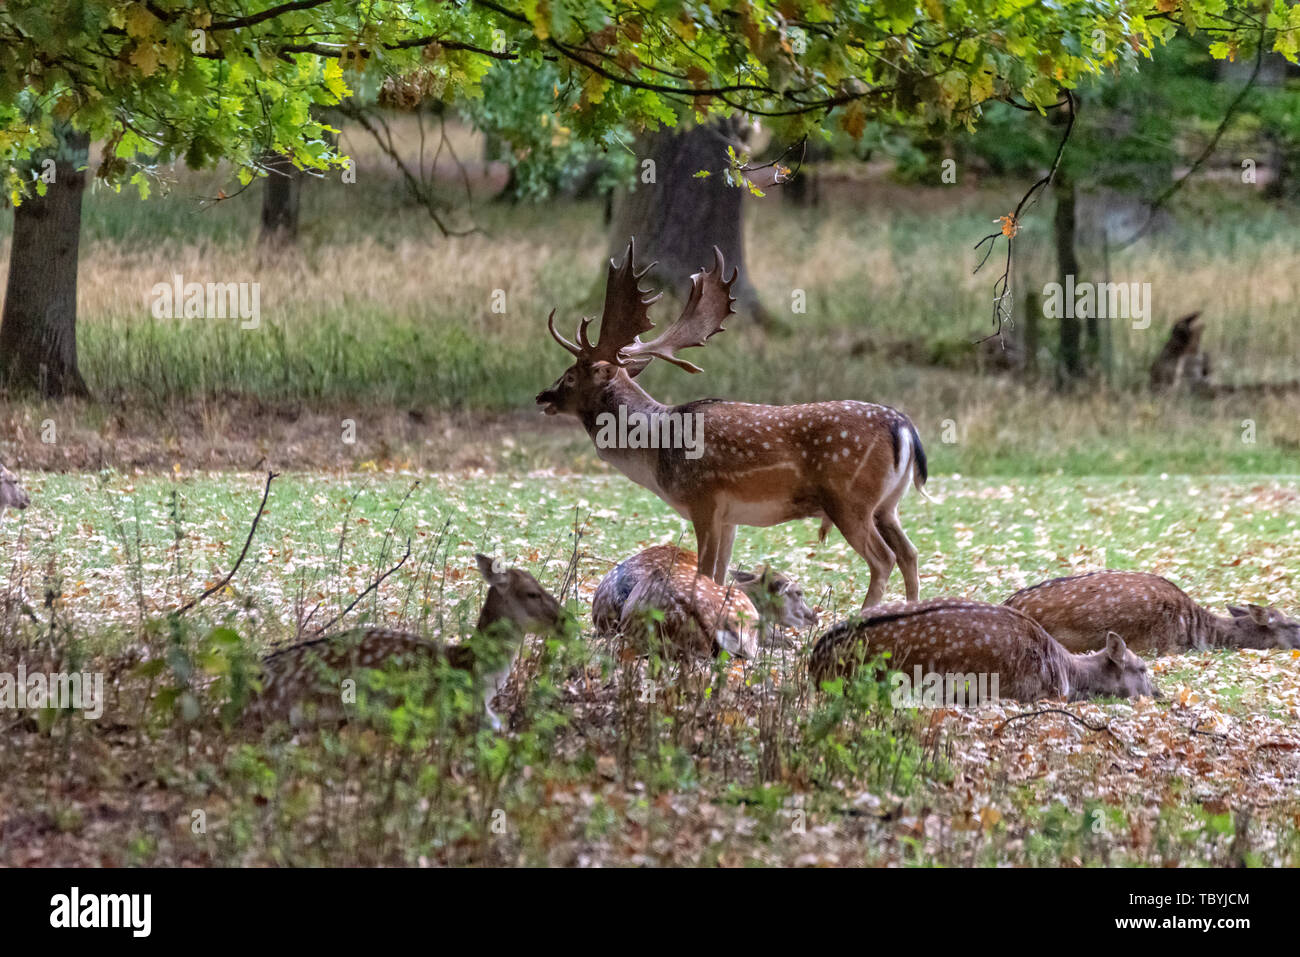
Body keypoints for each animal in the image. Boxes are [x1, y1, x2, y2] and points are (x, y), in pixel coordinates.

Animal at [537, 238, 928, 609]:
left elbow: (704, 571)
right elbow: (720, 575)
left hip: (850, 499)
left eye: (570, 376)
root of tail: (904, 427)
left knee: (884, 559)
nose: (542, 396)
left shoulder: (704, 499)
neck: (656, 450)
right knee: (909, 553)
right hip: (887, 505)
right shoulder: (730, 517)